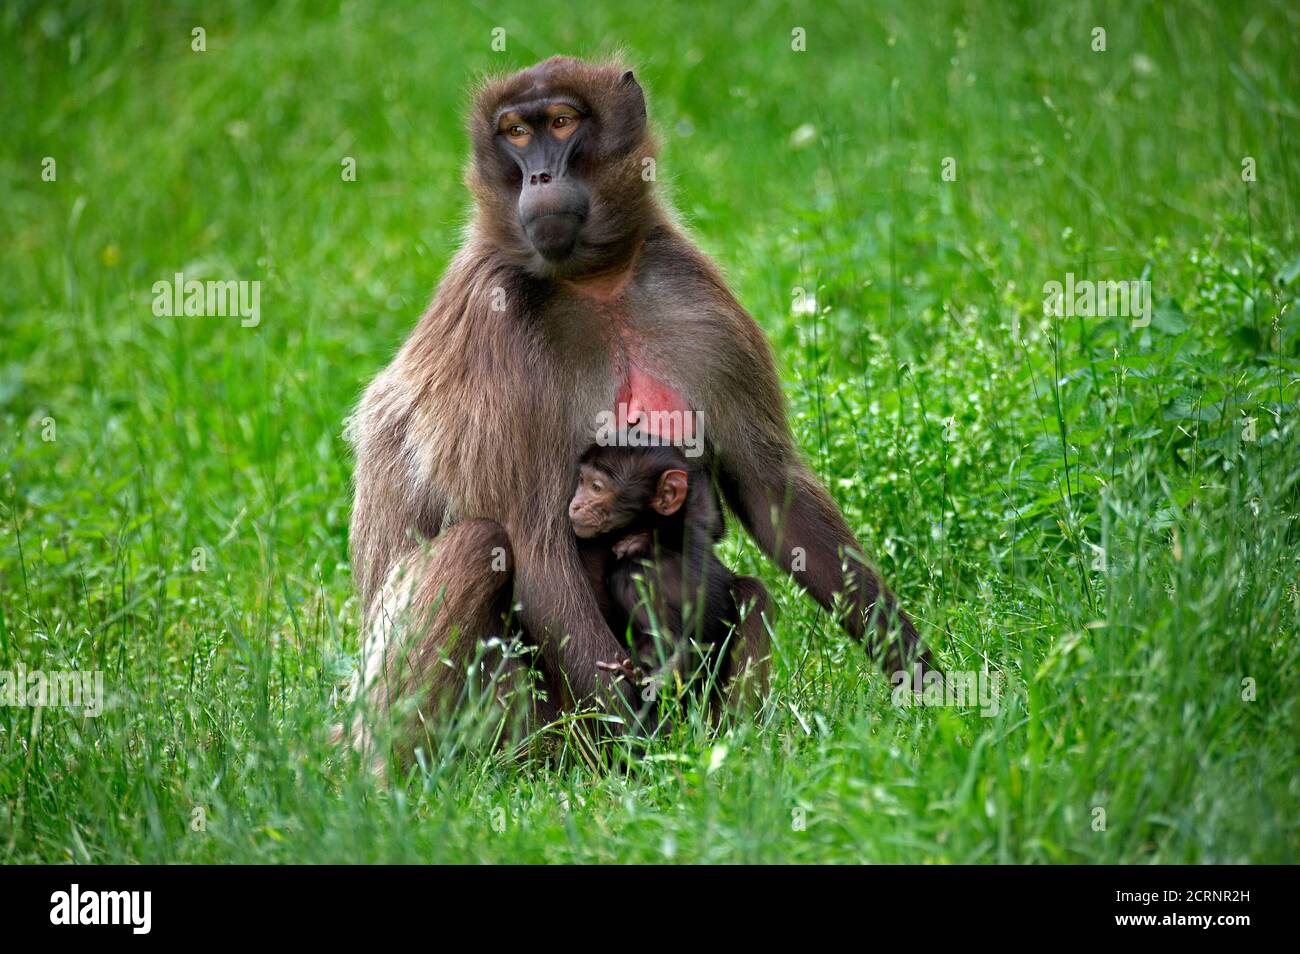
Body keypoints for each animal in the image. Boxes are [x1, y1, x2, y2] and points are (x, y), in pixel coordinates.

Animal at [344, 56, 934, 766]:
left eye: (561, 122)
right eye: (515, 133)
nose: (541, 177)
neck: (594, 285)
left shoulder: (695, 299)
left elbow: (769, 493)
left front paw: (923, 675)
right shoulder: (495, 327)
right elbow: (534, 543)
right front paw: (648, 759)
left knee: (752, 596)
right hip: (516, 725)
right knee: (478, 546)